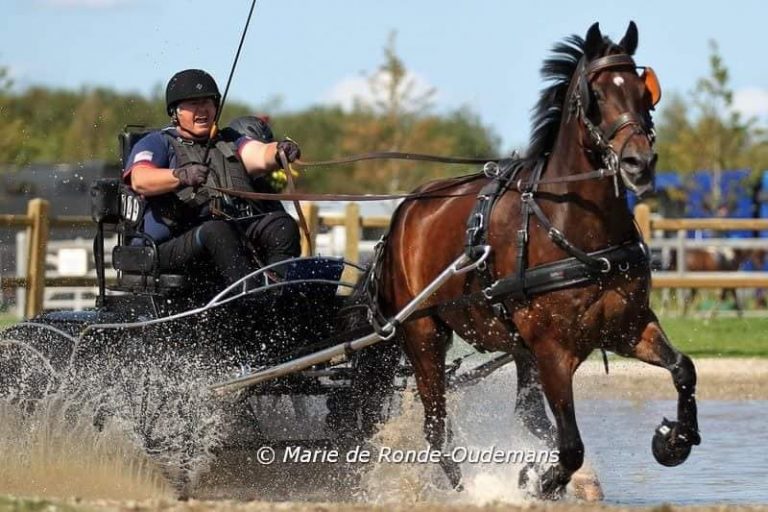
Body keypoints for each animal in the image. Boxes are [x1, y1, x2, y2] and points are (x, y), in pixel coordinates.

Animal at [355, 22, 701, 498]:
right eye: (596, 95)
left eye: (643, 92)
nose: (639, 162)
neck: (574, 227)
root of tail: (401, 215)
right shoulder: (552, 350)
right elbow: (570, 445)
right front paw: (538, 479)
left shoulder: (628, 326)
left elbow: (684, 369)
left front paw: (674, 440)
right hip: (423, 333)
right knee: (437, 426)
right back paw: (467, 488)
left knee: (523, 414)